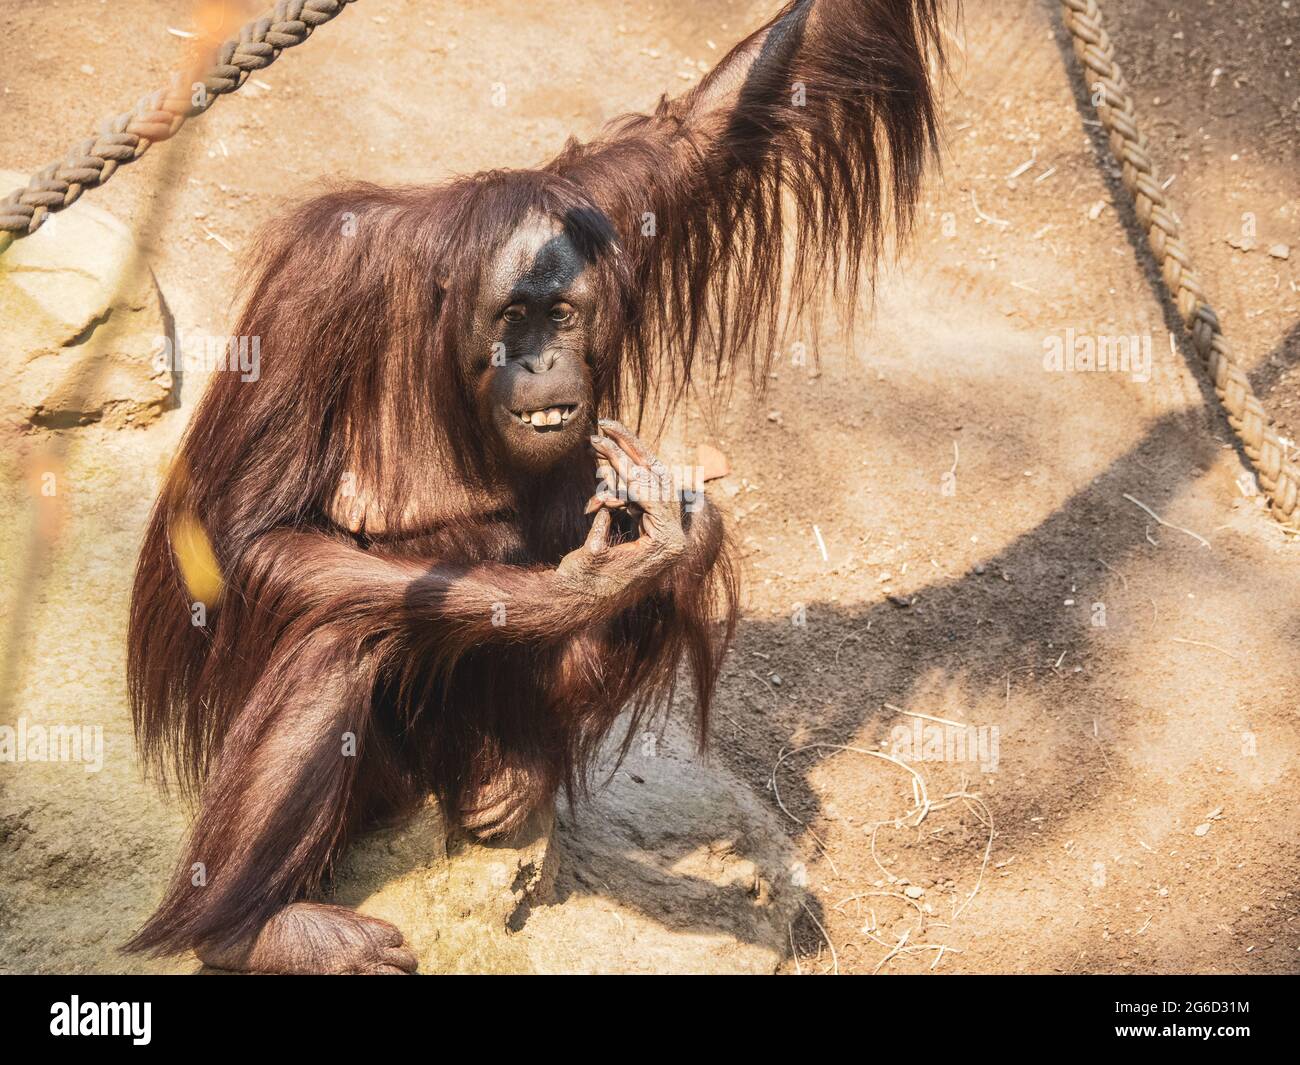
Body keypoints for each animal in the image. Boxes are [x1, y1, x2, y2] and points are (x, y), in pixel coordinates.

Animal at [124, 0, 943, 973]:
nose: (546, 360)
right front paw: (585, 583)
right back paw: (263, 930)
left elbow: (718, 118)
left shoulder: (615, 203)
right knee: (334, 642)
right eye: (515, 316)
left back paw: (517, 777)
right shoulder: (318, 292)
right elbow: (243, 531)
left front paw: (641, 554)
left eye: (564, 313)